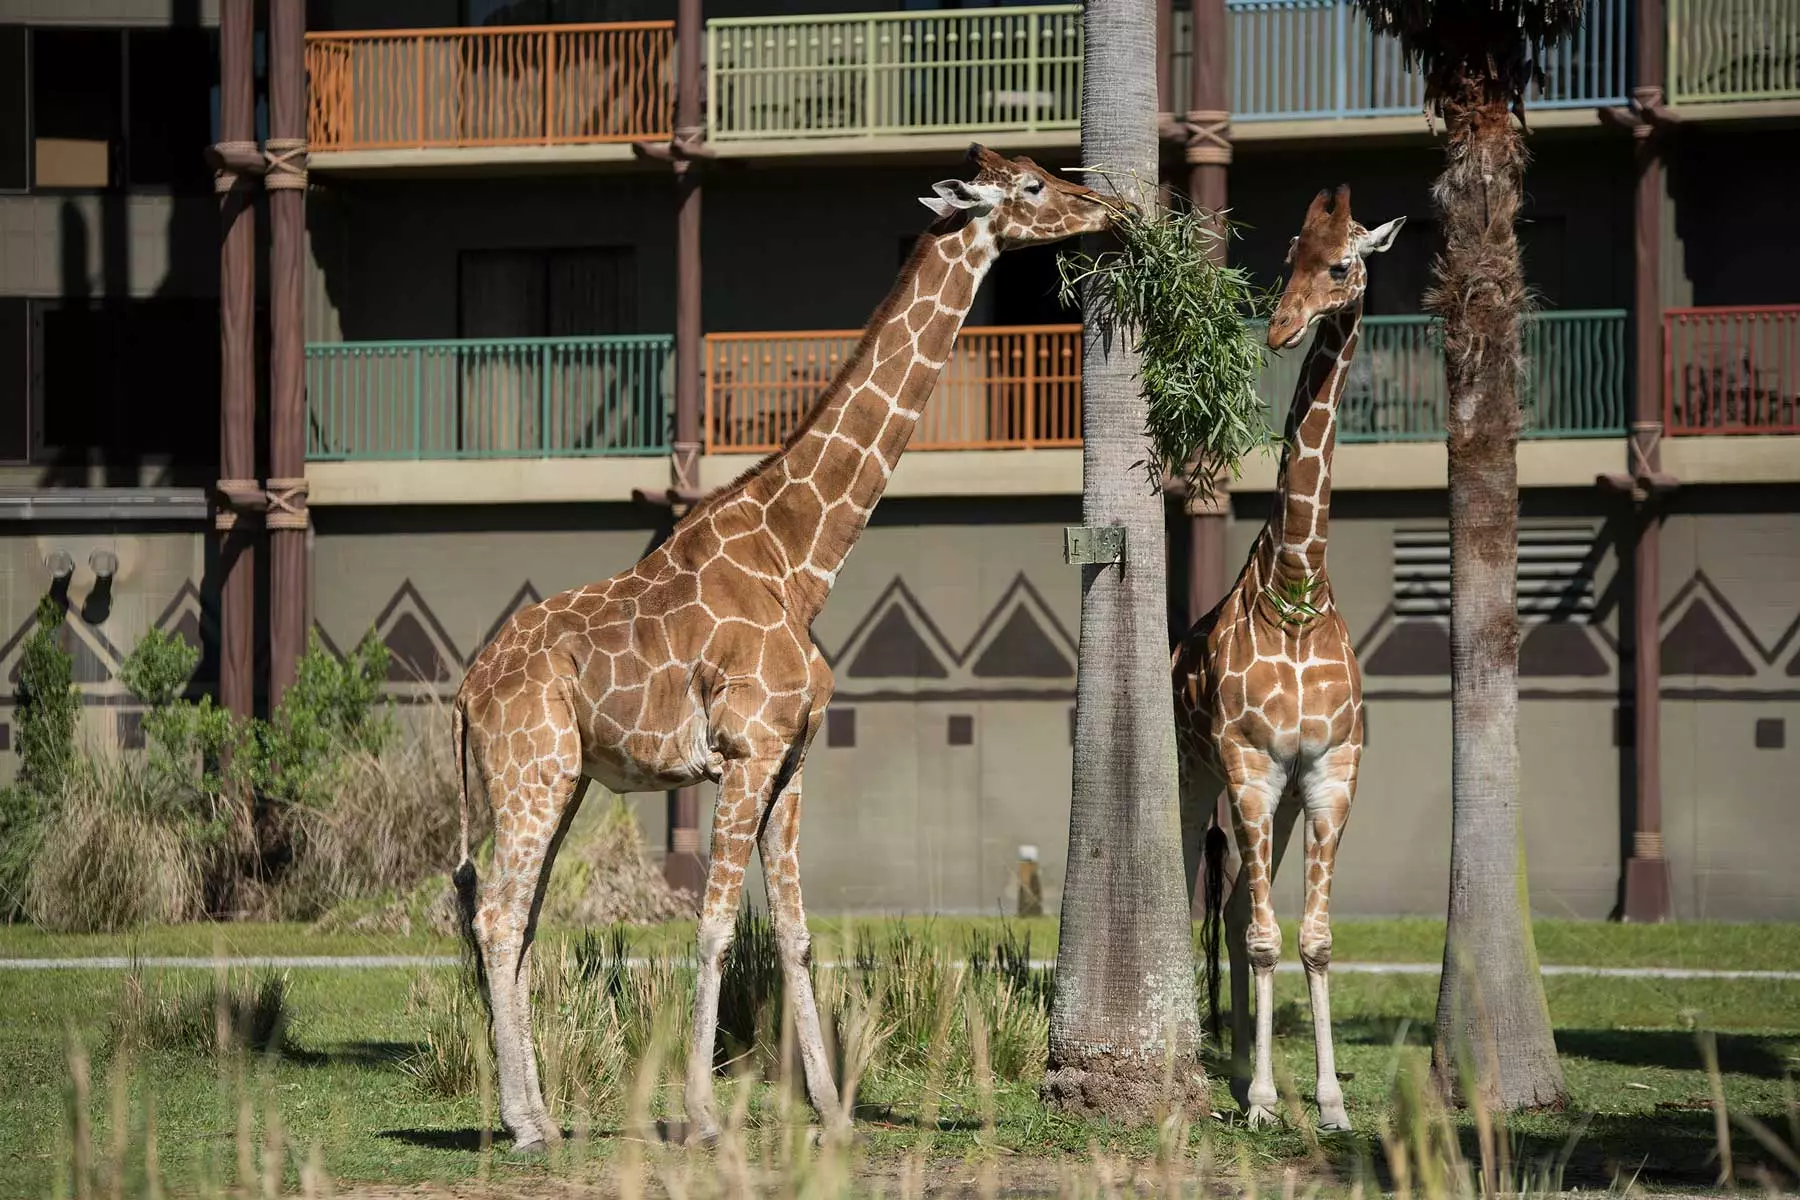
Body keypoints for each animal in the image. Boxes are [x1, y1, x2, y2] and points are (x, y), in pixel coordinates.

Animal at [1166, 189, 1404, 1137]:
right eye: (1287, 256)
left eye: (1341, 265)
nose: (1279, 328)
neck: (1296, 581)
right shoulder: (1250, 764)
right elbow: (1268, 938)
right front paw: (1270, 1101)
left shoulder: (1329, 772)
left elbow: (1314, 939)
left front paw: (1330, 1102)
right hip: (1197, 770)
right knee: (1208, 898)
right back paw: (1232, 1072)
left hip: (1286, 798)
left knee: (1235, 905)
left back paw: (1236, 1067)